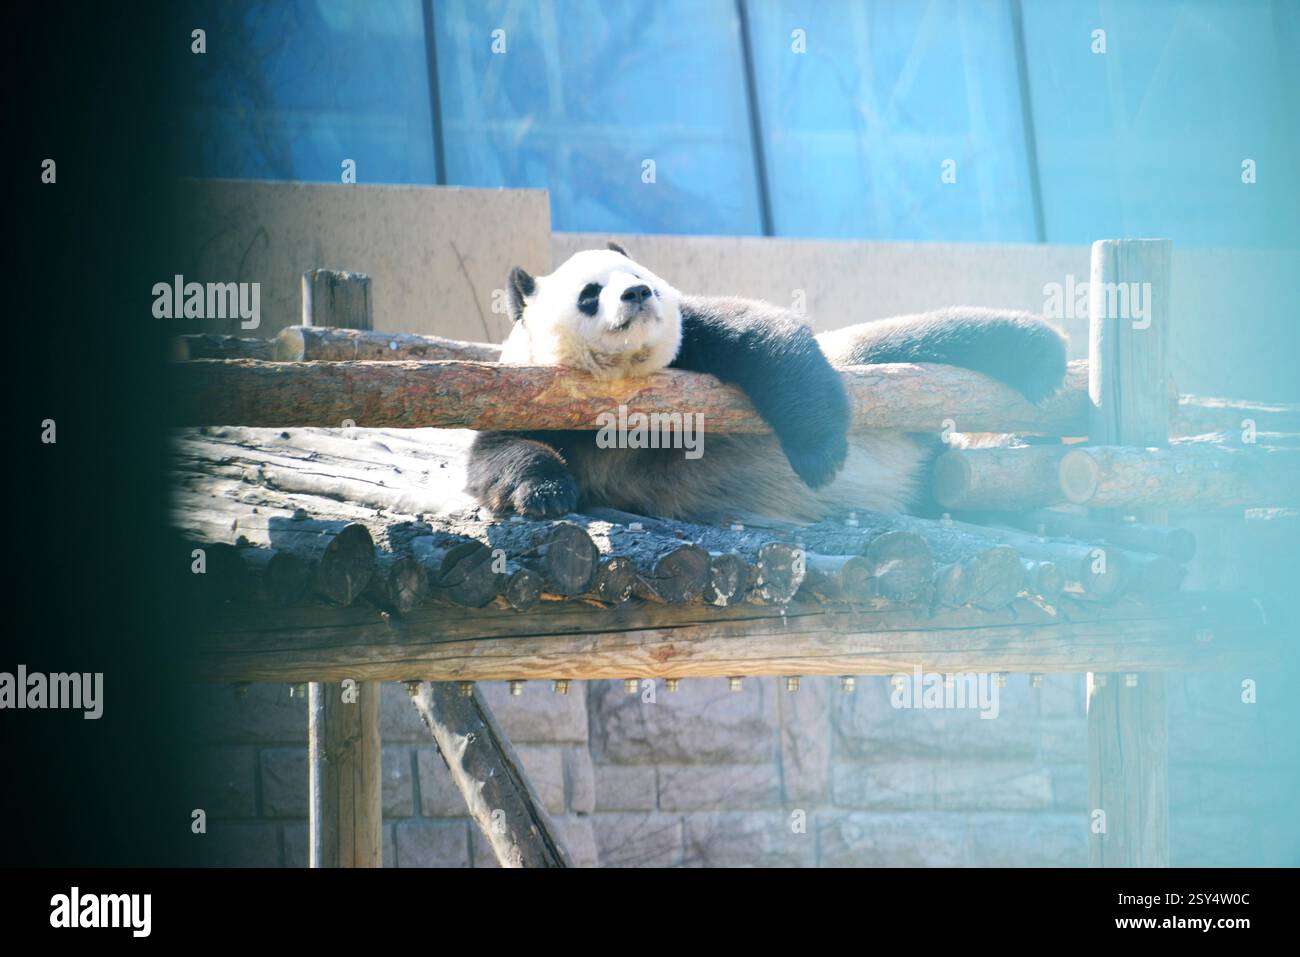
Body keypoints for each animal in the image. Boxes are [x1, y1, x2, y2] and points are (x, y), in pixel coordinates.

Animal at [466, 242, 1066, 525]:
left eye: (643, 281)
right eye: (590, 293)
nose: (637, 295)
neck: (627, 379)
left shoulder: (693, 337)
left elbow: (762, 335)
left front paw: (819, 453)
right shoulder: (531, 392)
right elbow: (496, 454)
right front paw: (543, 492)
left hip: (877, 369)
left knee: (926, 338)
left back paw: (1040, 359)